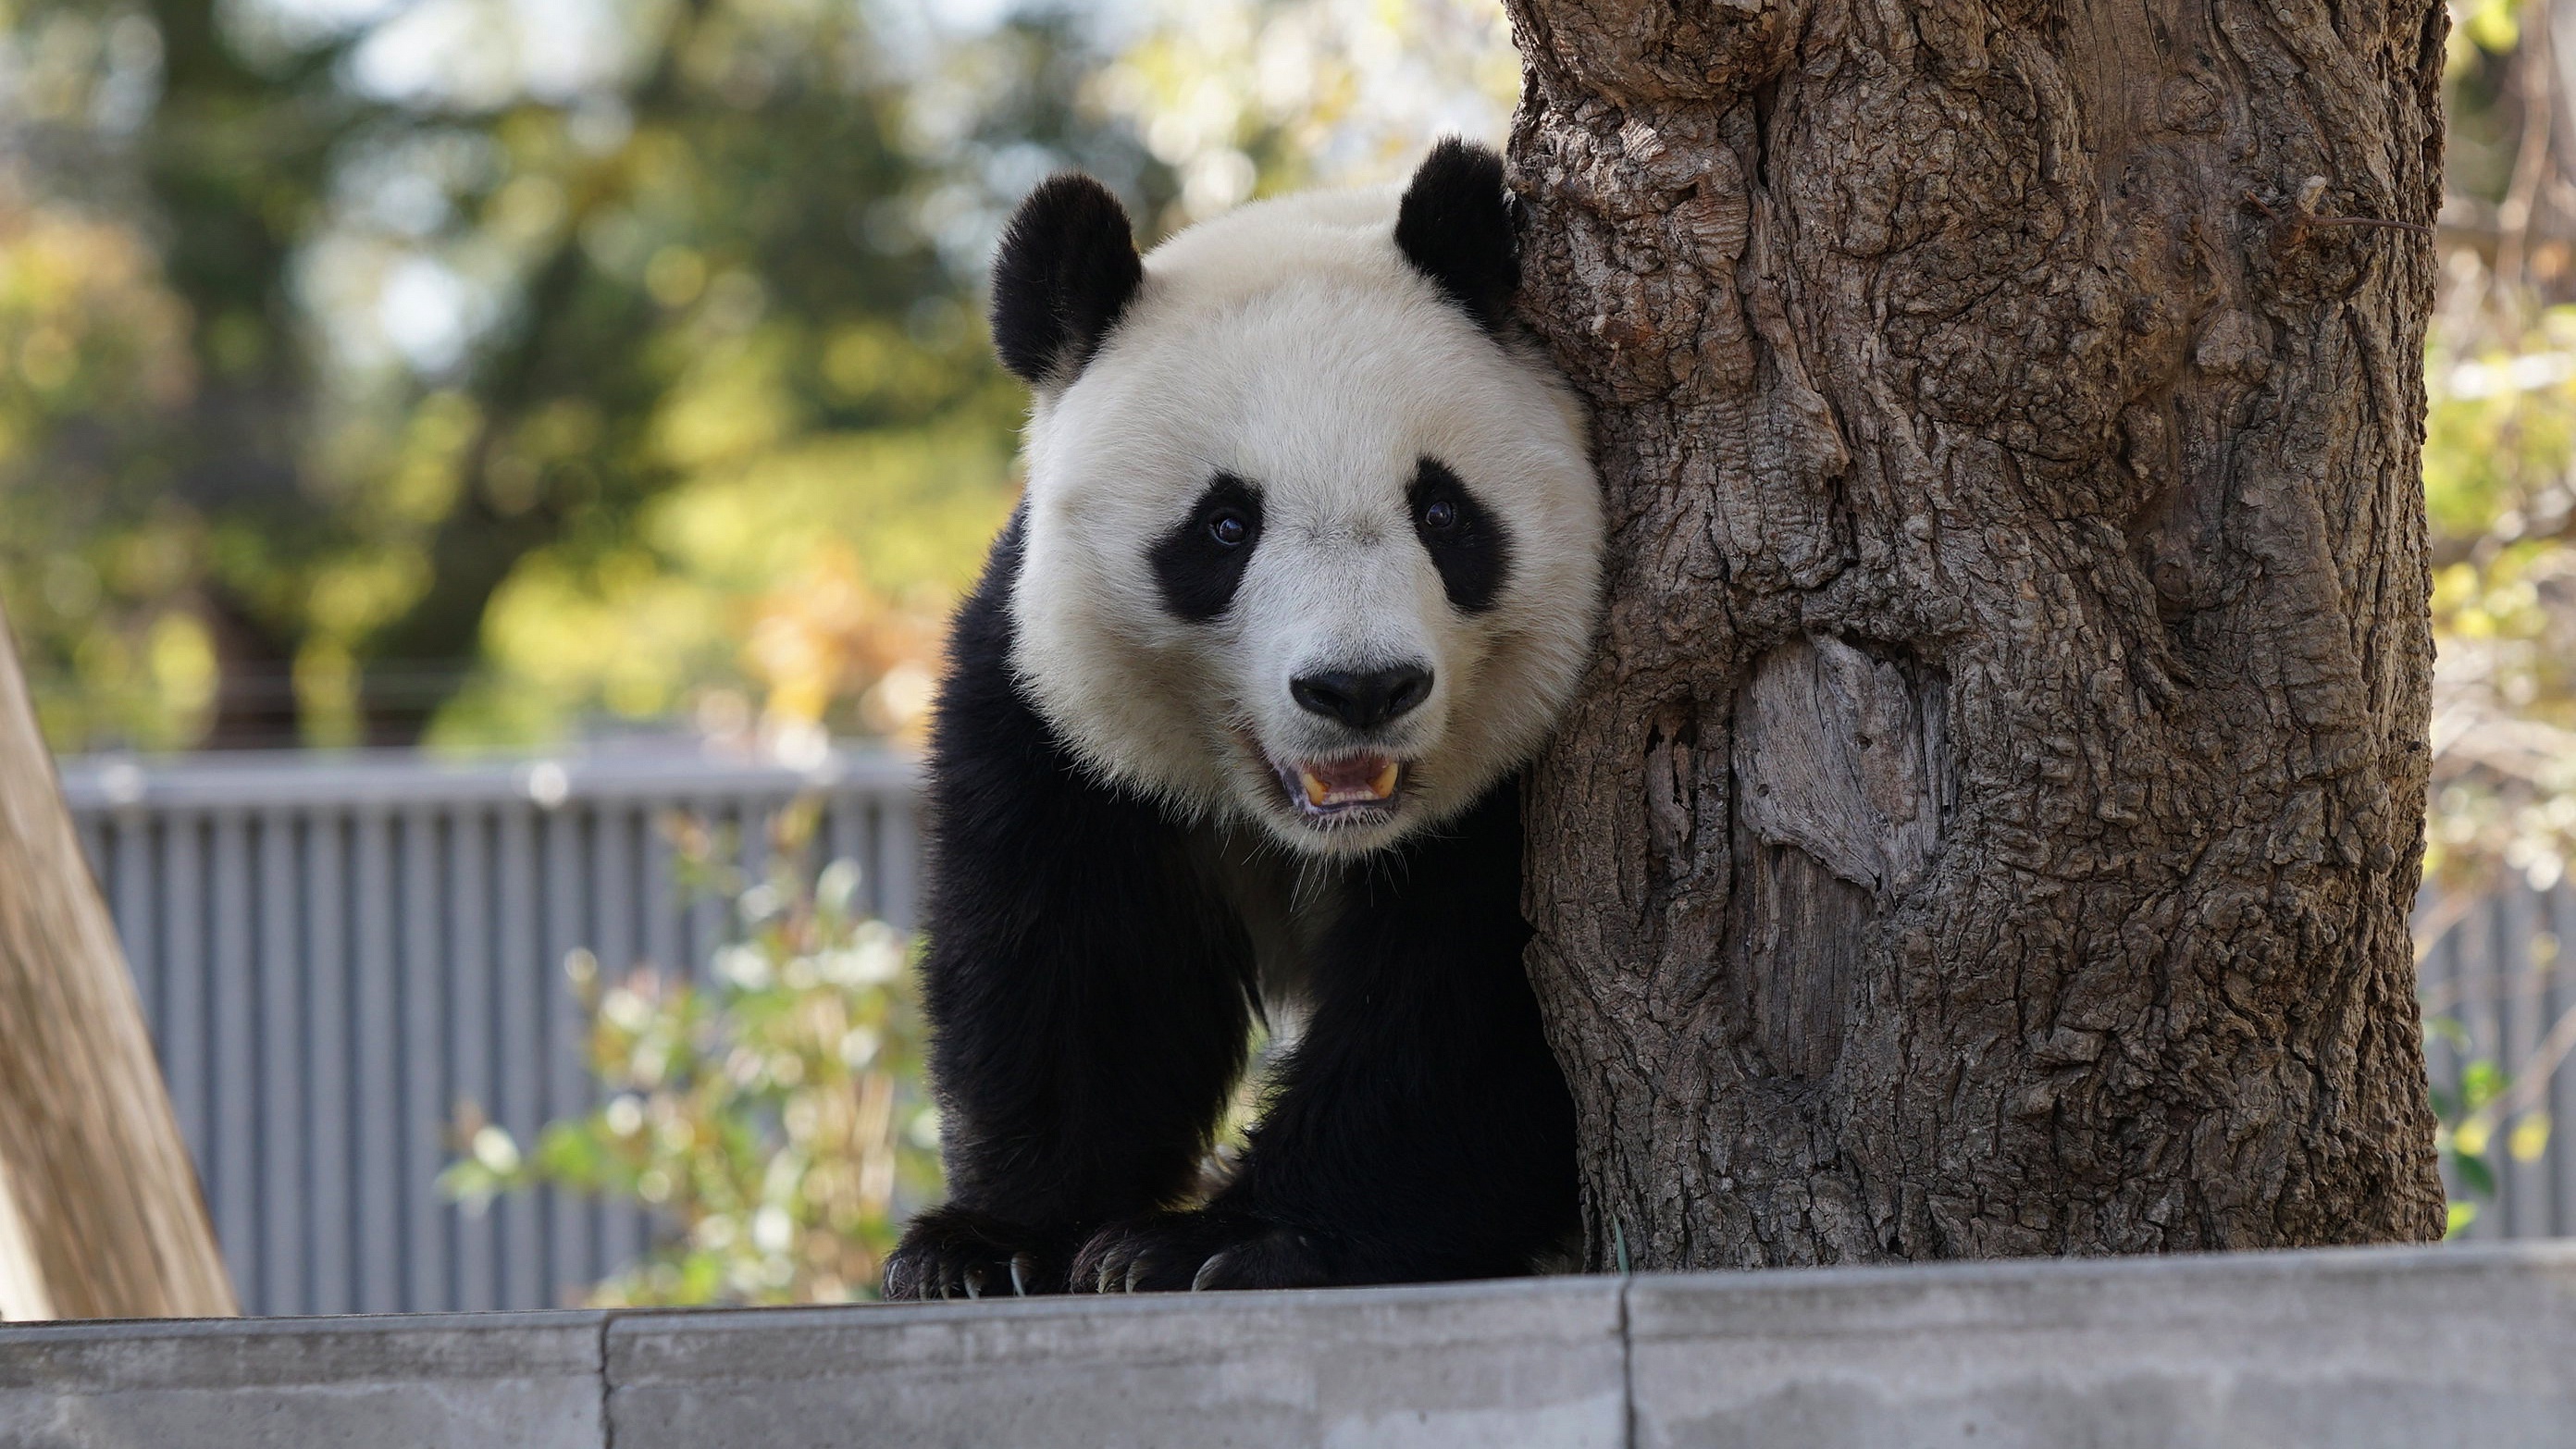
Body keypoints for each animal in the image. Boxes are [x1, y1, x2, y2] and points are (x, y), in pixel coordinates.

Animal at [881, 140, 1604, 1298]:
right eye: (1225, 526)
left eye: (1443, 512)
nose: (1361, 689)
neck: (1323, 832)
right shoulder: (1059, 721)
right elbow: (1074, 965)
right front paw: (992, 1243)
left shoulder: (1524, 773)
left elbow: (1475, 1024)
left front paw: (1216, 1242)